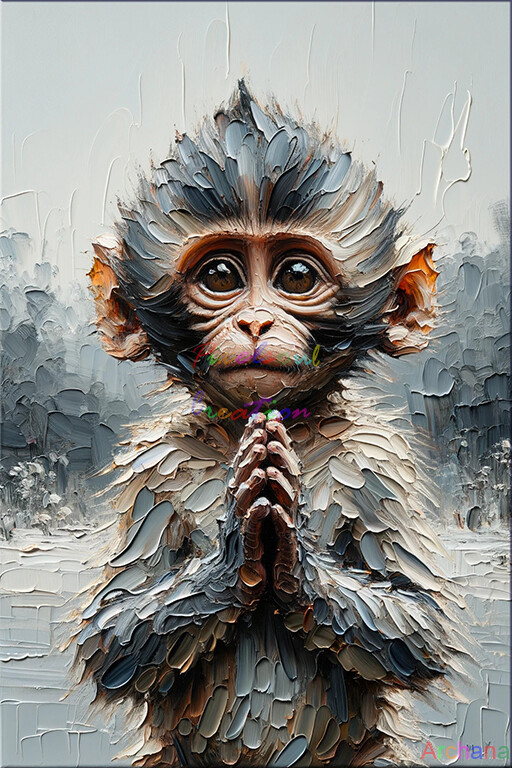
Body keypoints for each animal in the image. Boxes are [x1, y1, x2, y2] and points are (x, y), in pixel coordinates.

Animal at [71, 81, 471, 768]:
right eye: (221, 276)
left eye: (296, 277)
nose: (255, 321)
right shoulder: (150, 466)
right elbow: (110, 633)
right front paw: (237, 556)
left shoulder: (382, 461)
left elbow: (420, 624)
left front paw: (293, 562)